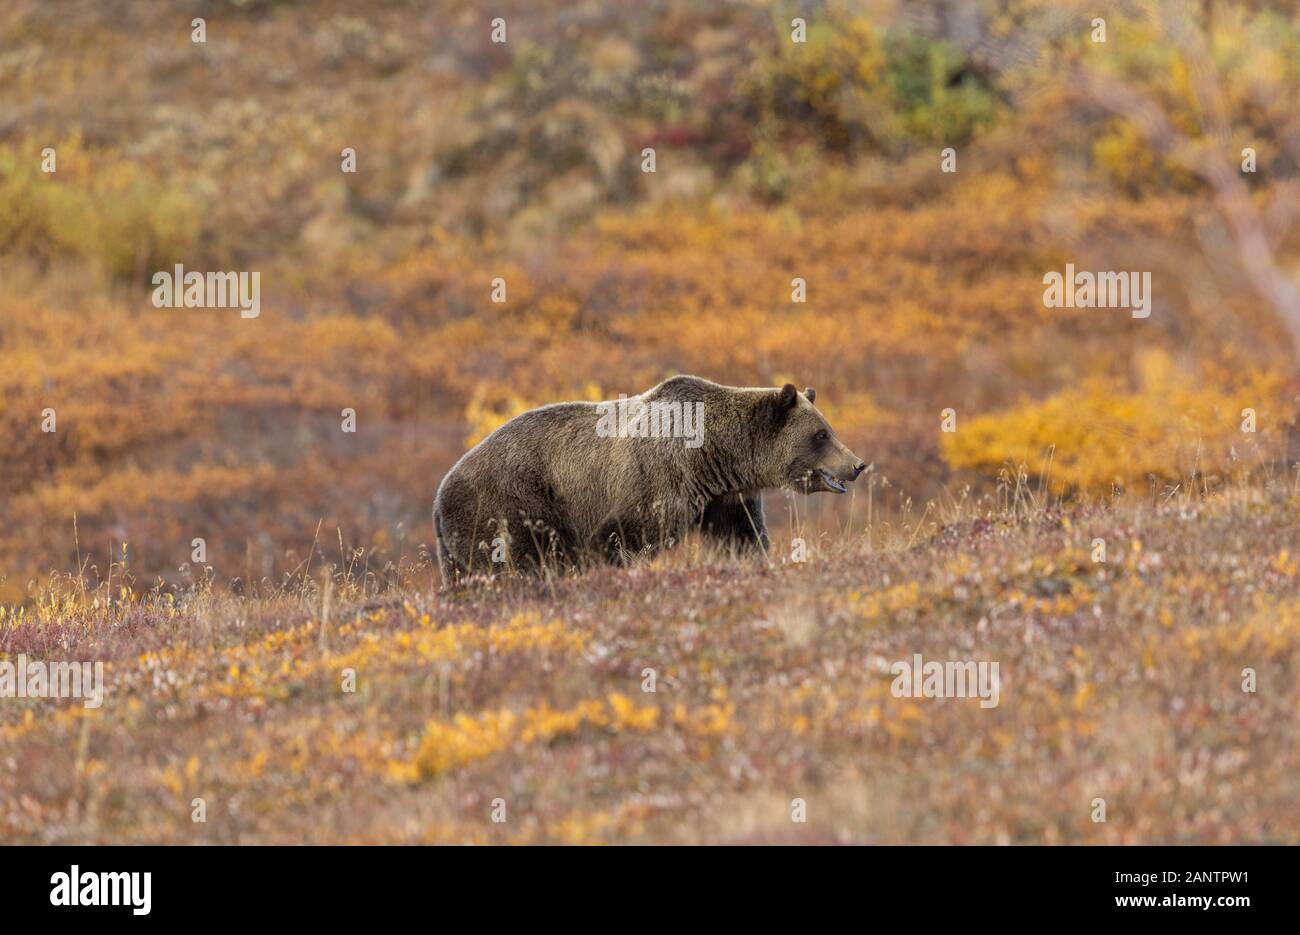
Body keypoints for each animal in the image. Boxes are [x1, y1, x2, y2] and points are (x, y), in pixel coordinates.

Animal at [433, 375, 866, 585]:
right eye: (821, 434)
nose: (857, 464)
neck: (714, 456)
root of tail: (439, 493)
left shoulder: (723, 497)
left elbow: (742, 536)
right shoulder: (657, 481)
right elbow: (622, 537)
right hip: (510, 505)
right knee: (518, 559)